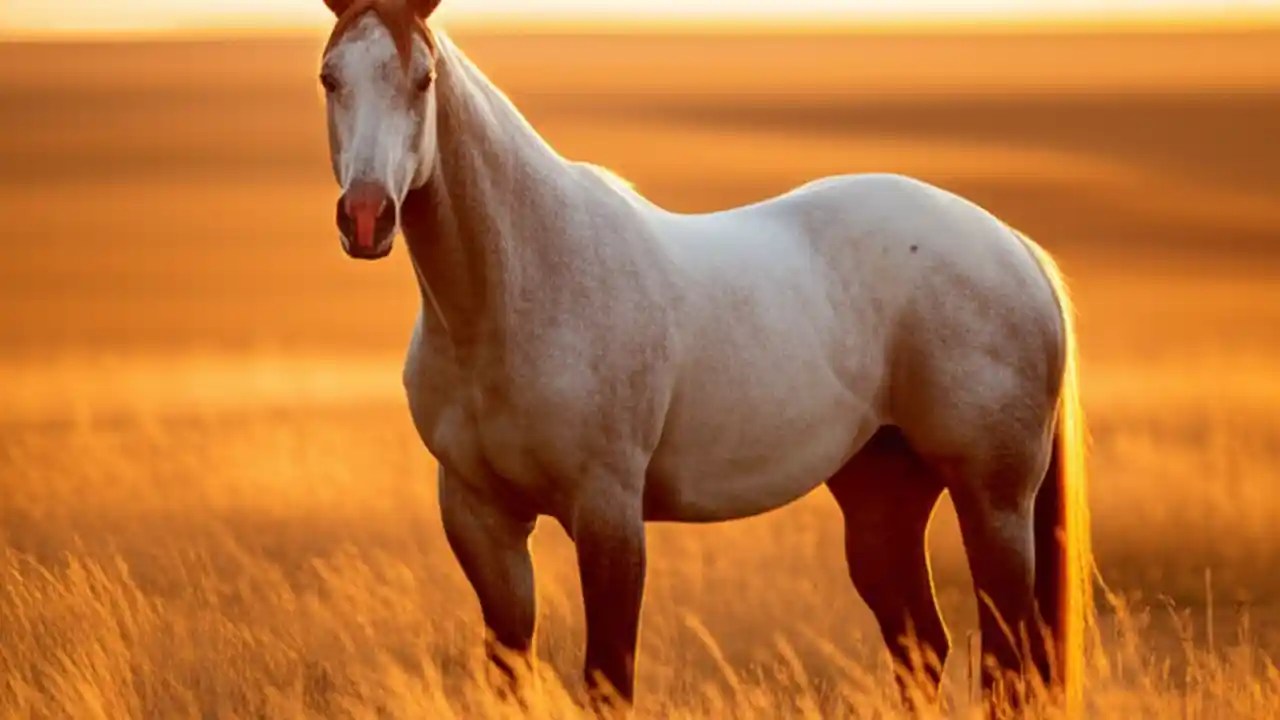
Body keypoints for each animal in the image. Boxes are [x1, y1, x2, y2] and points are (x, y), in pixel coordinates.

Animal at [315, 0, 1091, 710]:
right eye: (329, 76)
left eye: (423, 79)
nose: (367, 216)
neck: (518, 291)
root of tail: (1013, 247)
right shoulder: (481, 520)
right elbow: (509, 673)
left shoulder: (609, 514)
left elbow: (608, 680)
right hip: (883, 500)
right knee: (922, 647)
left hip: (993, 502)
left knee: (1011, 663)